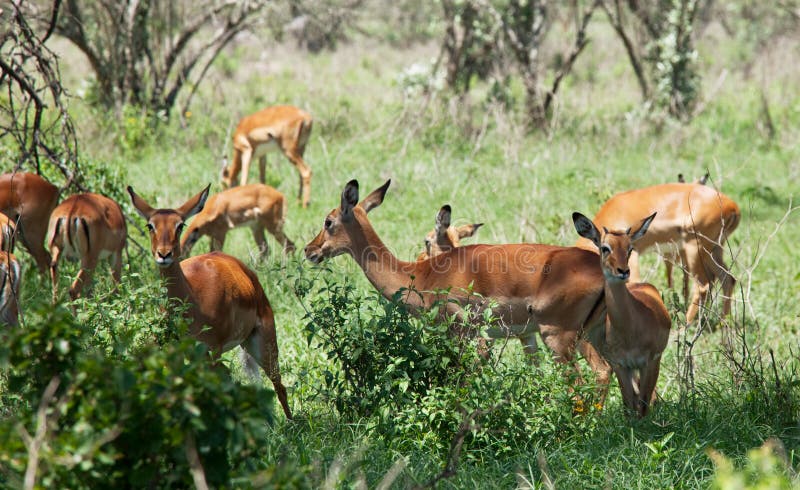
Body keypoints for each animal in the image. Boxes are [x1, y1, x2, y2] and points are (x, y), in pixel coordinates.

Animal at [128, 185, 292, 419]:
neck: (193, 300)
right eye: (150, 225)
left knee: (279, 385)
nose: (164, 254)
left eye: (180, 225)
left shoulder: (212, 350)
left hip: (263, 343)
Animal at [305, 179, 612, 392]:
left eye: (328, 221)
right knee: (606, 371)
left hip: (560, 338)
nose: (310, 250)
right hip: (591, 335)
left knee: (581, 383)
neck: (423, 275)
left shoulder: (469, 335)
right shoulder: (524, 337)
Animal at [573, 212, 671, 417]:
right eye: (605, 248)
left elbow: (642, 406)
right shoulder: (621, 365)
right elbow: (629, 405)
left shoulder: (648, 362)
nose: (623, 271)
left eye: (630, 248)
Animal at [576, 182, 740, 323]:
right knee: (728, 279)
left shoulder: (633, 255)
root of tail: (733, 207)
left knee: (703, 286)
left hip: (695, 249)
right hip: (713, 251)